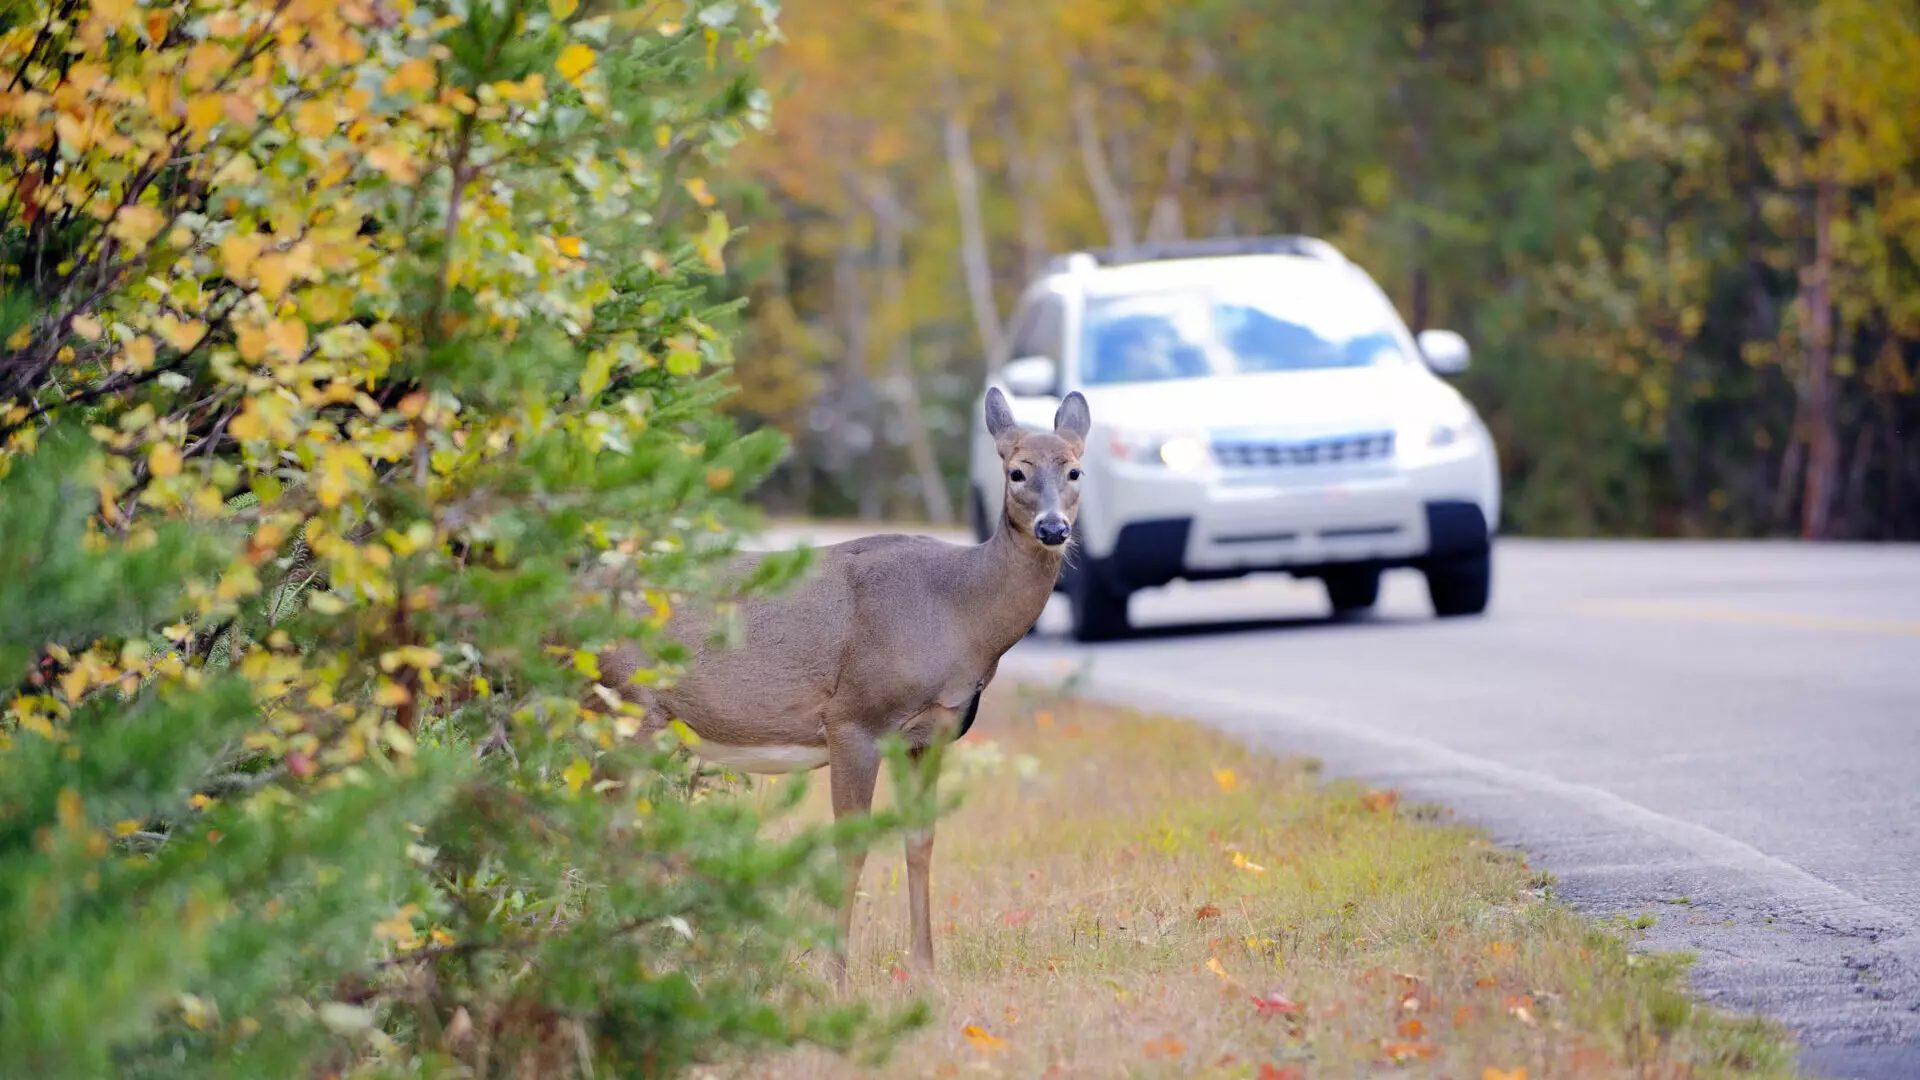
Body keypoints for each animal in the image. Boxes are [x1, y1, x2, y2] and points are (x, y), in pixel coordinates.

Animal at [591, 386, 1090, 983]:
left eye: (1075, 470)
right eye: (1016, 471)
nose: (1053, 529)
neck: (957, 612)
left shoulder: (931, 733)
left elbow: (921, 840)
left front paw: (926, 971)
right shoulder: (854, 718)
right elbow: (849, 849)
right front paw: (835, 975)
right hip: (626, 704)